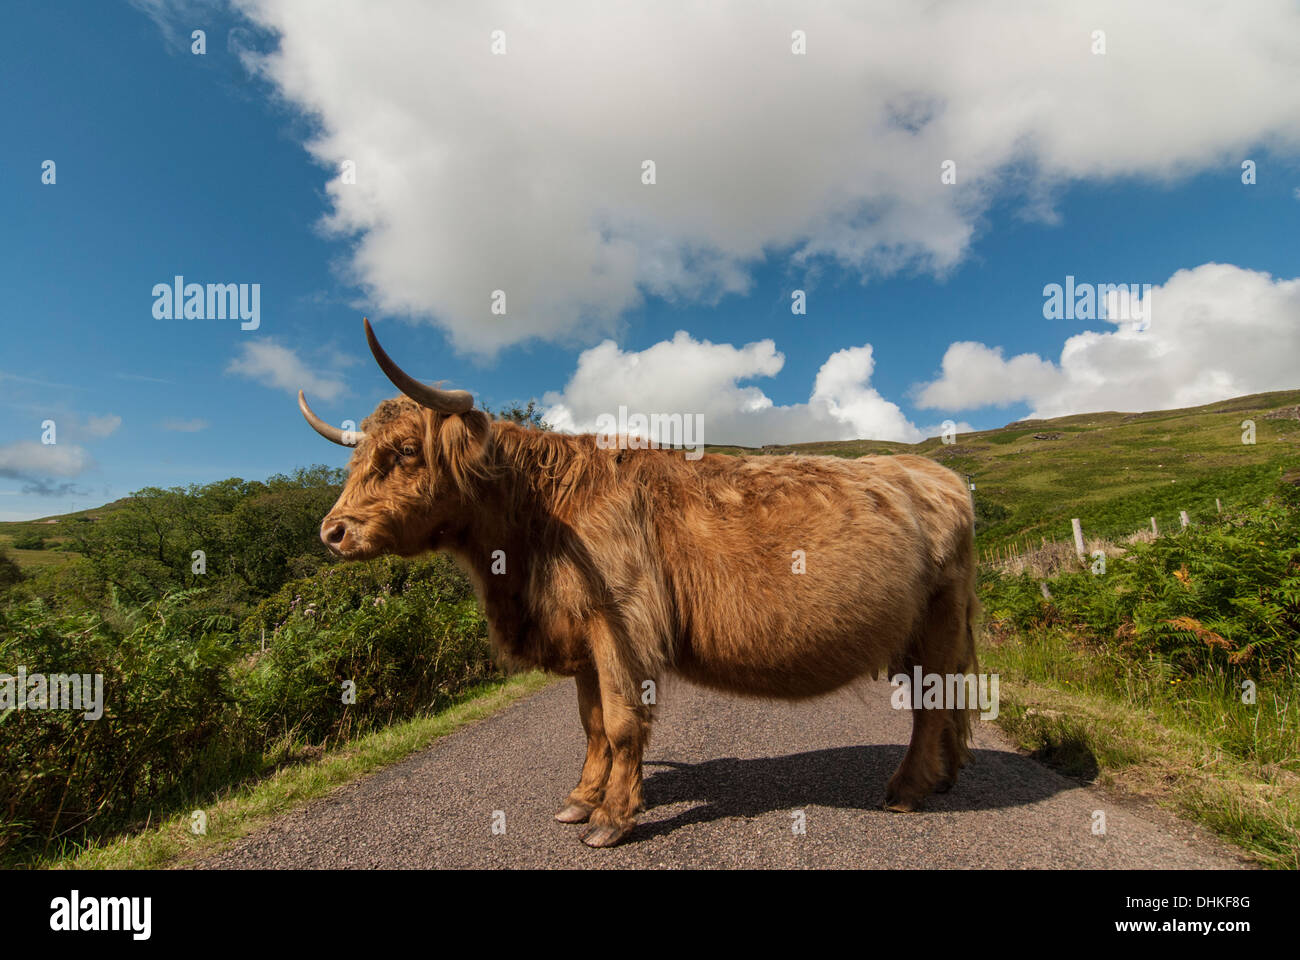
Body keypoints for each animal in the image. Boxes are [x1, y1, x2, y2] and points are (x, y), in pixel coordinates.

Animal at [297, 318, 981, 847]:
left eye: (407, 451)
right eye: (357, 456)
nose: (332, 532)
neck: (533, 532)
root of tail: (936, 474)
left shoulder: (621, 623)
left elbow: (624, 721)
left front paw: (612, 819)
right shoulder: (580, 635)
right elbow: (593, 723)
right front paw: (581, 798)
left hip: (940, 622)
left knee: (931, 703)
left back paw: (906, 790)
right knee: (944, 703)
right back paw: (943, 777)